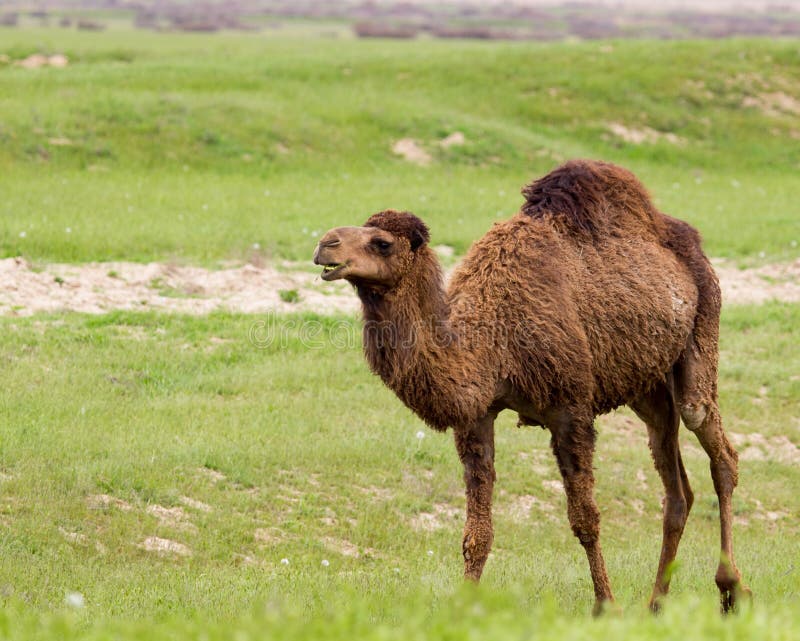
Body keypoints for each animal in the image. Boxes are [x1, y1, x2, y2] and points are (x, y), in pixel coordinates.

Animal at [313, 159, 749, 614]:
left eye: (381, 243)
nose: (326, 245)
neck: (493, 340)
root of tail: (687, 238)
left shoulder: (570, 409)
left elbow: (585, 518)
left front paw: (604, 605)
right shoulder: (477, 415)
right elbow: (477, 533)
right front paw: (463, 607)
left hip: (704, 326)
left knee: (716, 447)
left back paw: (731, 589)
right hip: (647, 386)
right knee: (676, 487)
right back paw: (656, 604)